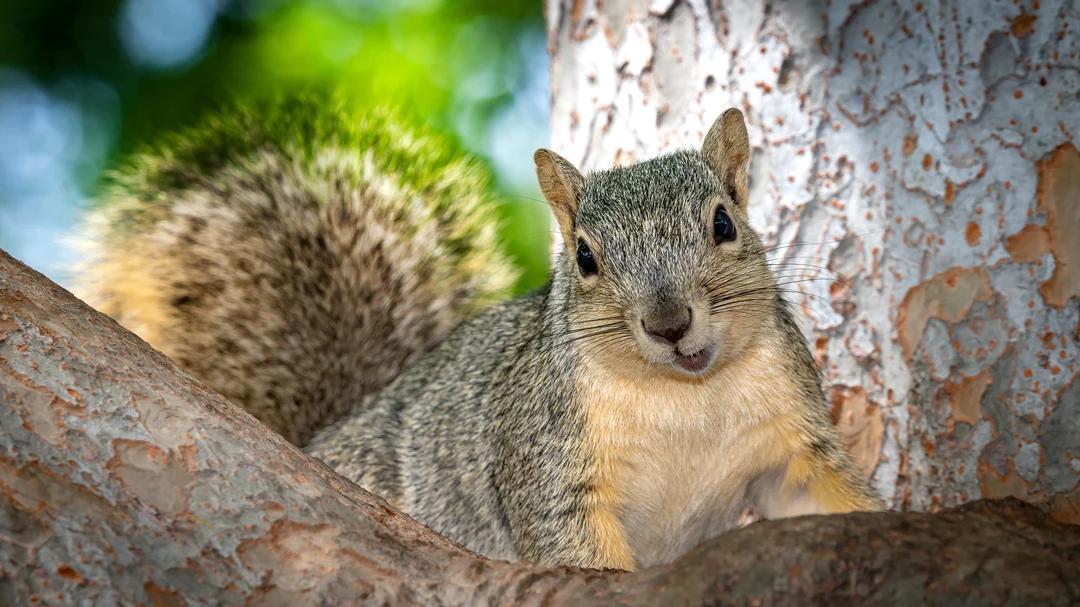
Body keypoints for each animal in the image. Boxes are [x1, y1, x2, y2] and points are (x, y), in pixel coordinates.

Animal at [75, 93, 883, 572]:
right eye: (583, 257)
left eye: (723, 223)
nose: (670, 323)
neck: (688, 396)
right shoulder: (546, 459)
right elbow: (570, 545)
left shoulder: (788, 438)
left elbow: (826, 501)